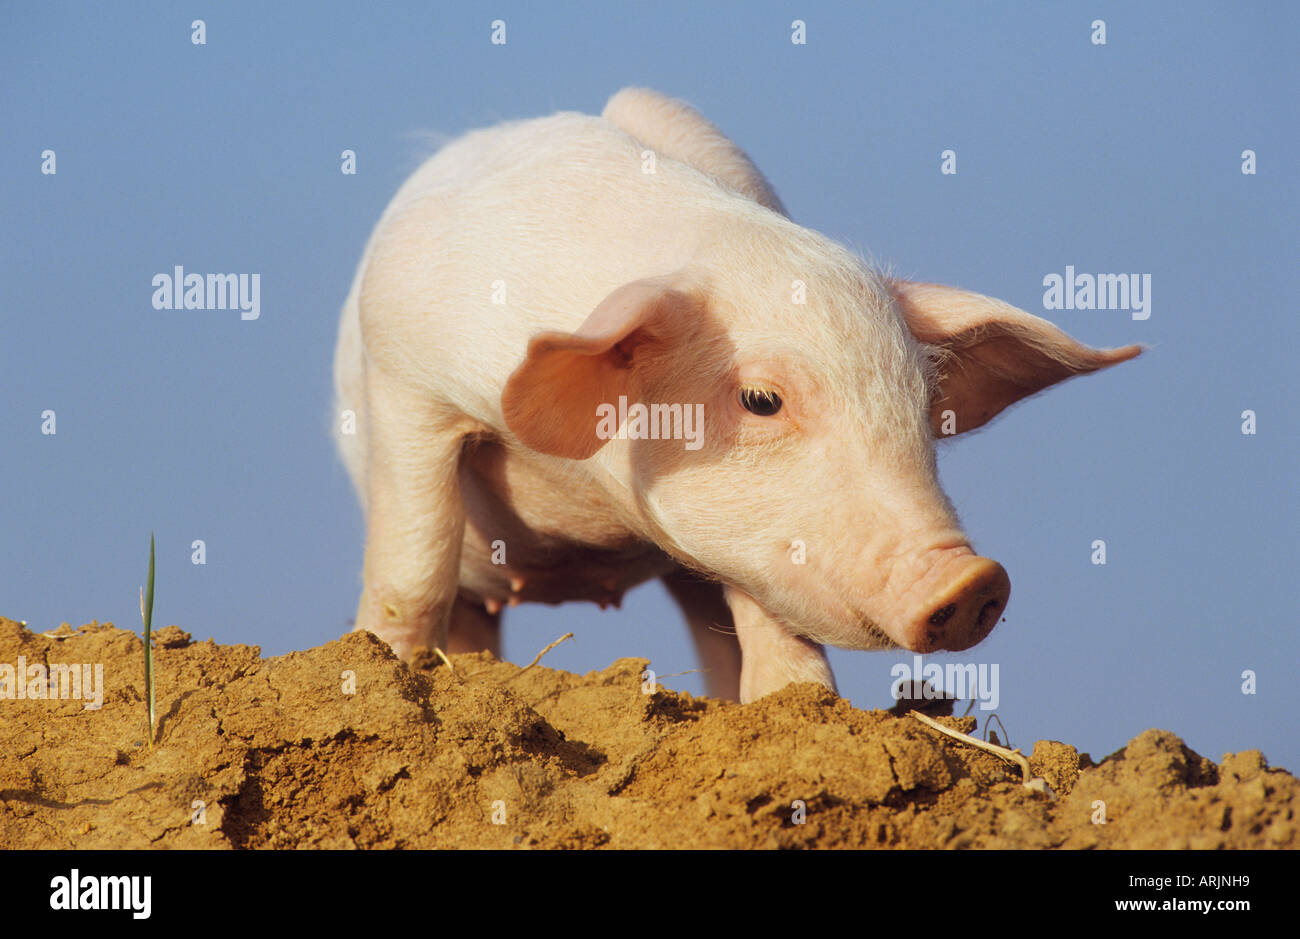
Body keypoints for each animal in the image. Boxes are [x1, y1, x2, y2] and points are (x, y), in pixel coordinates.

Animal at [333, 87, 1140, 703]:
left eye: (920, 401)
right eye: (760, 400)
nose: (972, 581)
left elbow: (773, 618)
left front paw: (800, 705)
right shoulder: (407, 378)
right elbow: (413, 562)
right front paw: (378, 670)